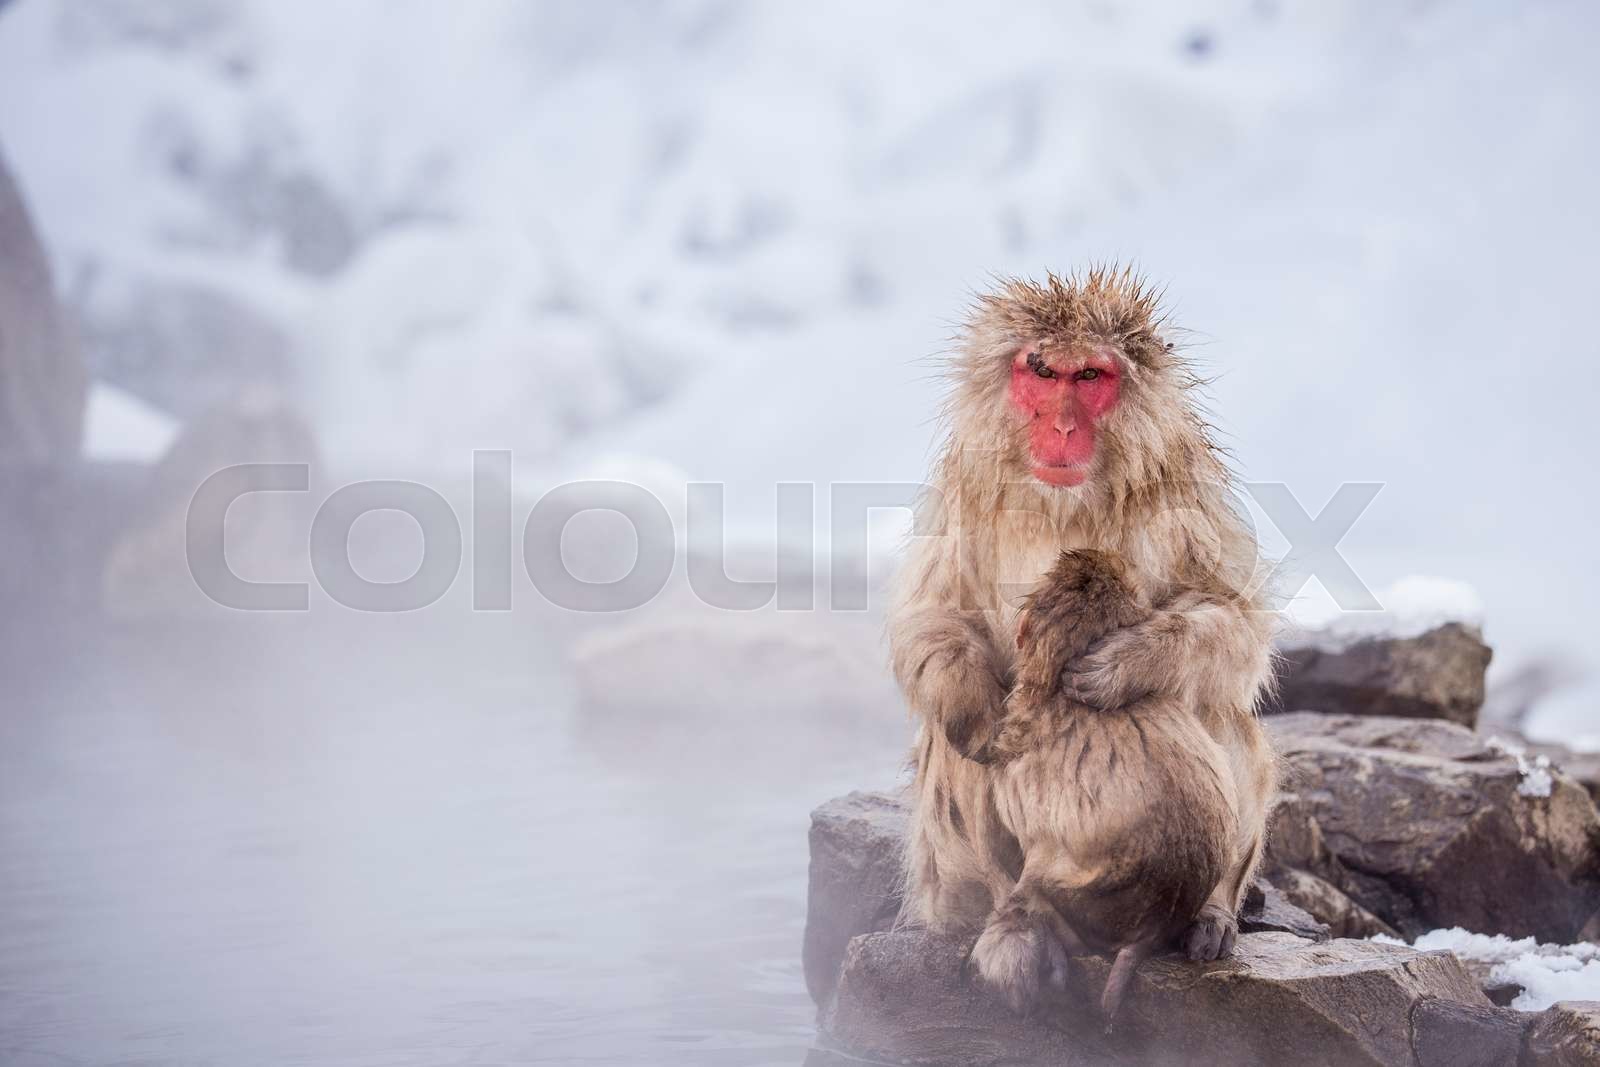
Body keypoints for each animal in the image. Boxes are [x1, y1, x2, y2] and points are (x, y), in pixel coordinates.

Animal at [887, 267, 1276, 971]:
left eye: (1090, 376)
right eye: (1042, 371)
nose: (1063, 428)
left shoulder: (1181, 486)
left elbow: (1233, 619)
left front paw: (1126, 663)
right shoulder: (963, 488)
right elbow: (933, 614)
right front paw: (975, 703)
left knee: (1214, 701)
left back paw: (1208, 912)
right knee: (955, 748)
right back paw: (1006, 919)